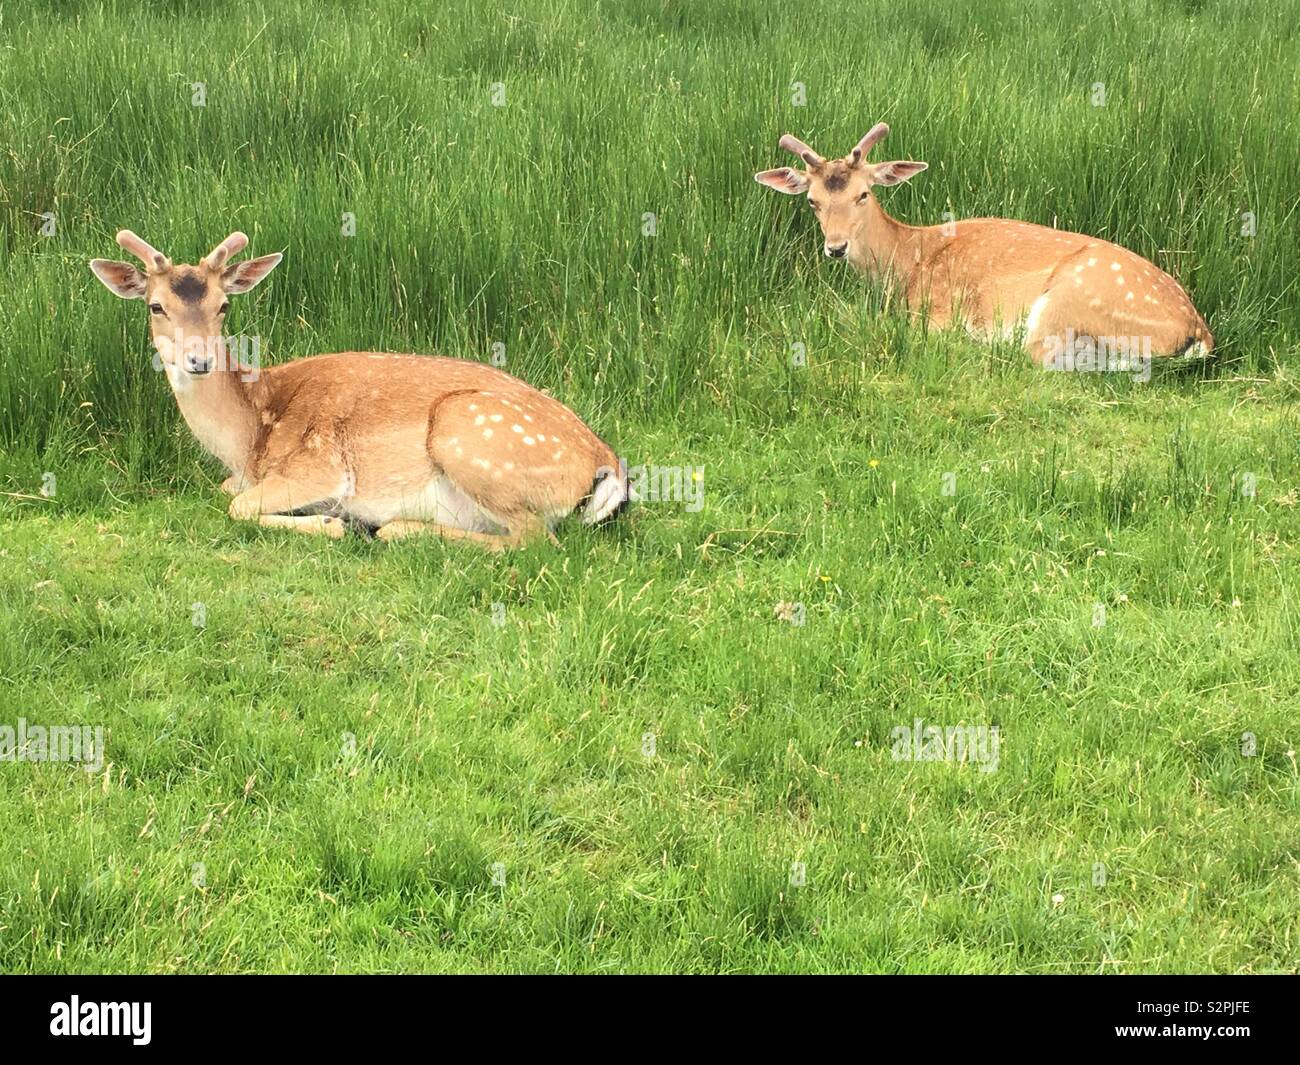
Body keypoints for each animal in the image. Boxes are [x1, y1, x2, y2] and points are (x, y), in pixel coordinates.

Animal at [89, 230, 629, 549]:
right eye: (156, 306)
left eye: (224, 305)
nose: (198, 360)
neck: (249, 442)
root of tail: (609, 467)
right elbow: (227, 492)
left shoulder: (319, 467)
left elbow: (237, 505)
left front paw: (333, 522)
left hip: (469, 436)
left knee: (534, 540)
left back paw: (385, 527)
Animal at [755, 123, 1214, 367]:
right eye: (812, 201)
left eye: (863, 194)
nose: (836, 247)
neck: (907, 261)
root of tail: (1198, 328)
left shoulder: (937, 313)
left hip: (1069, 301)